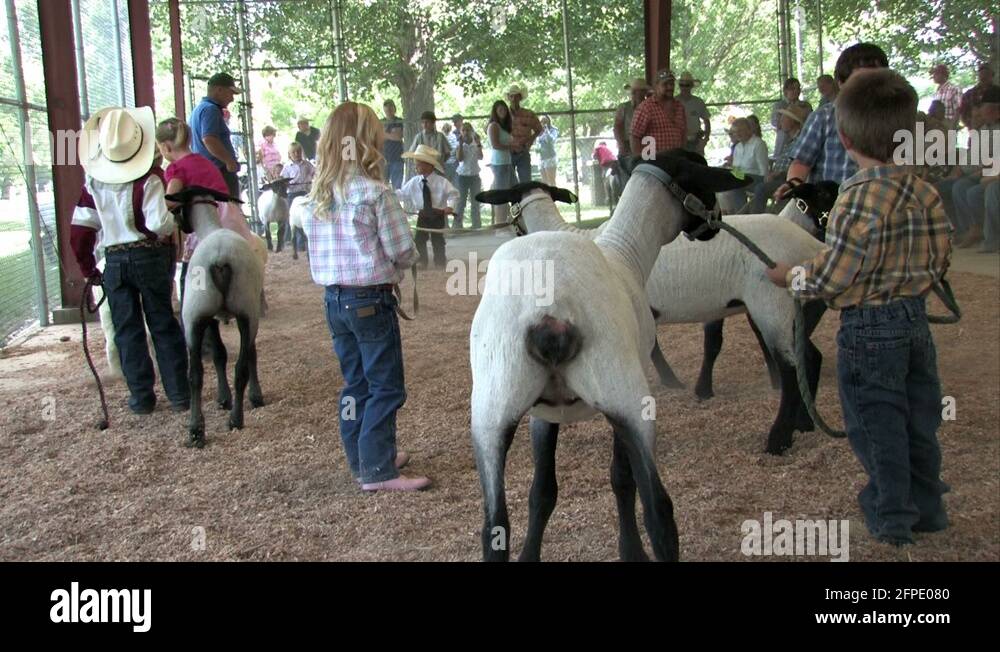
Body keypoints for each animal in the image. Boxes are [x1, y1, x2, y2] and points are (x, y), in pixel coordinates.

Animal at [166, 185, 265, 448]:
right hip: (238, 311)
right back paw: (217, 424)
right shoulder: (234, 315)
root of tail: (220, 258)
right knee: (226, 369)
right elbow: (236, 354)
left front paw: (228, 399)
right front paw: (242, 397)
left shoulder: (211, 318)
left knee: (204, 372)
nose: (177, 223)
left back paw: (210, 426)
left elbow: (222, 354)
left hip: (199, 313)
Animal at [470, 150, 751, 561]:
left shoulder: (543, 413)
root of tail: (550, 312)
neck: (626, 249)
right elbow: (621, 480)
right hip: (626, 394)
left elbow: (542, 491)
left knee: (494, 525)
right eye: (703, 179)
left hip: (492, 408)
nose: (715, 223)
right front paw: (631, 551)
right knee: (659, 511)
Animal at [511, 178, 840, 455]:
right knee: (809, 357)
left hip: (771, 305)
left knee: (793, 365)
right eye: (824, 194)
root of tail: (813, 247)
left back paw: (779, 439)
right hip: (792, 311)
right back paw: (805, 424)